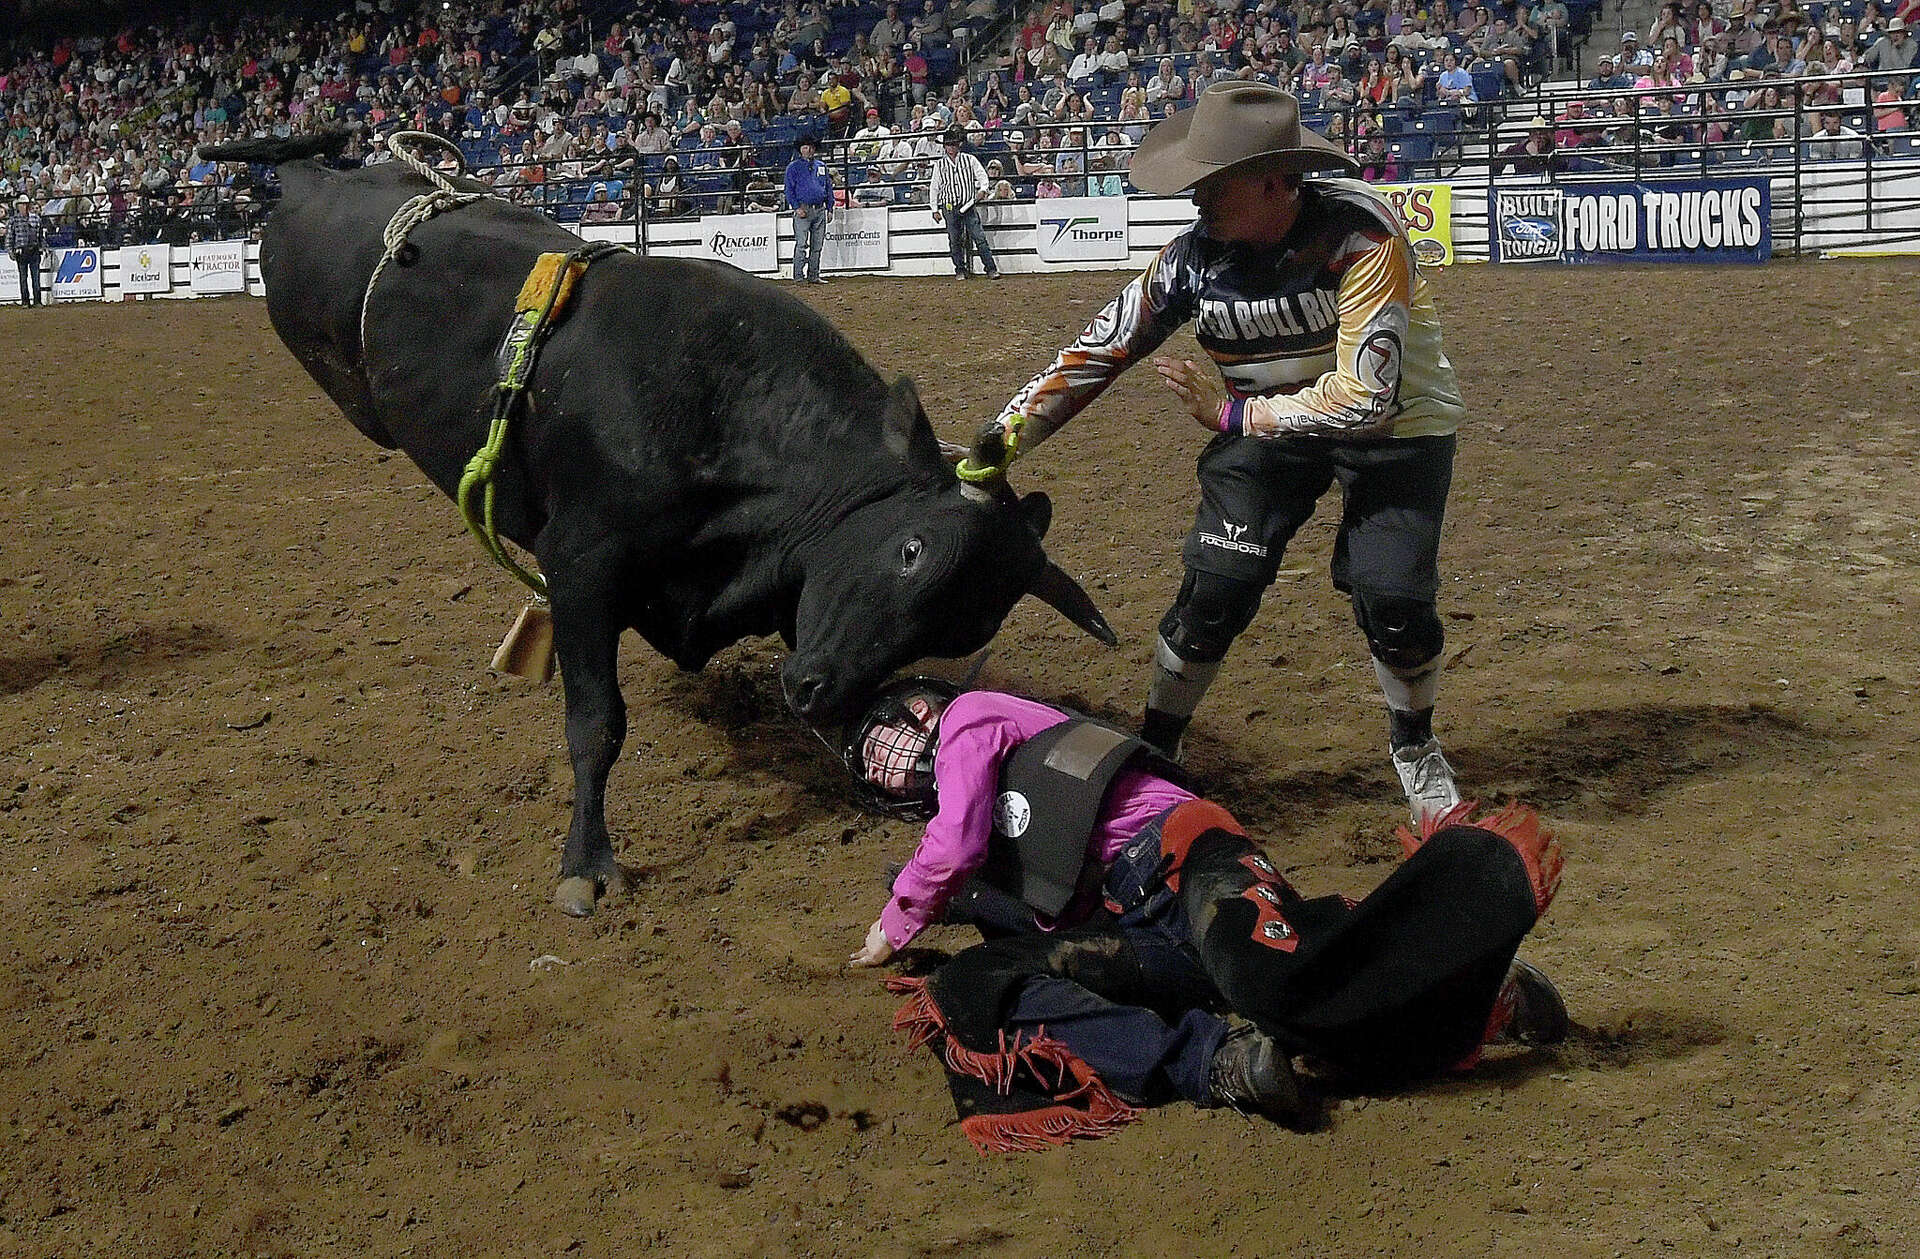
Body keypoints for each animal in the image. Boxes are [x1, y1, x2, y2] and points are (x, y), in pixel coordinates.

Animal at [200, 131, 1114, 916]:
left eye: (964, 628)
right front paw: (586, 864)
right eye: (912, 548)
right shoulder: (581, 565)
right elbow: (597, 722)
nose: (818, 689)